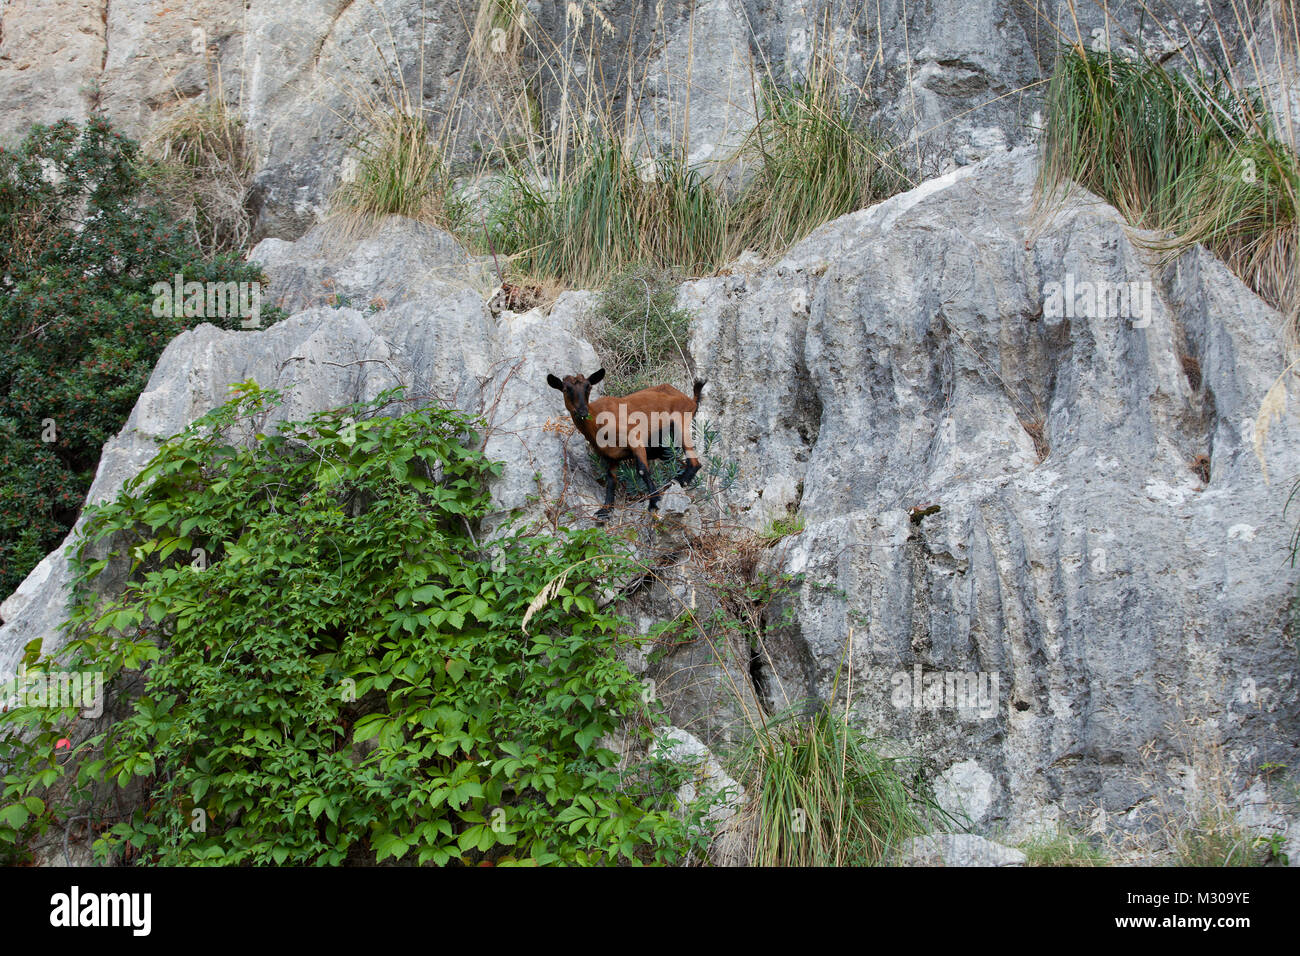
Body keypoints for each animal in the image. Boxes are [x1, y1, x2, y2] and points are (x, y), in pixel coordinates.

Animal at [547, 368, 705, 522]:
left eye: (588, 387)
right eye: (565, 389)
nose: (583, 412)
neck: (599, 420)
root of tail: (690, 400)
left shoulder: (635, 439)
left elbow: (642, 470)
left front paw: (654, 502)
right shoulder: (609, 456)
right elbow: (611, 480)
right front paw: (605, 510)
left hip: (681, 425)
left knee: (694, 462)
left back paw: (677, 482)